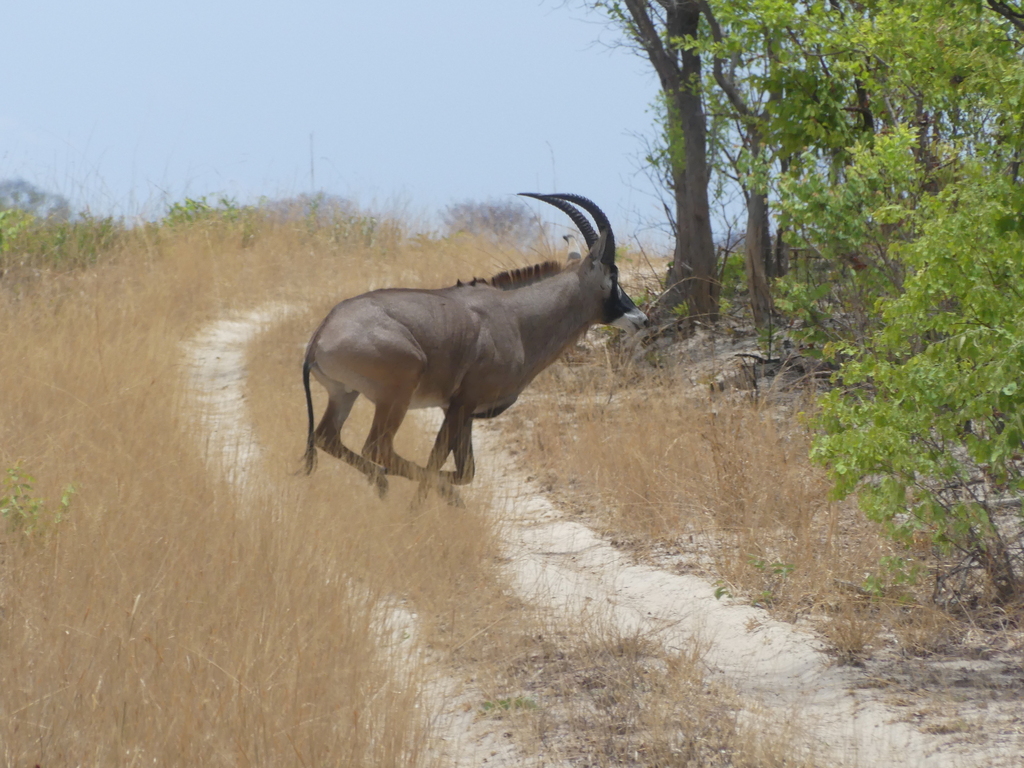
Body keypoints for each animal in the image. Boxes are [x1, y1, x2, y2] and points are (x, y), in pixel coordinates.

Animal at [301, 193, 648, 503]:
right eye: (613, 275)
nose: (641, 319)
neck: (516, 317)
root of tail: (322, 334)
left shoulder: (461, 411)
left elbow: (462, 471)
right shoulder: (461, 405)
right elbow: (442, 466)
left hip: (344, 394)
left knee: (328, 437)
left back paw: (382, 482)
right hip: (395, 397)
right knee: (378, 448)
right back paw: (388, 482)